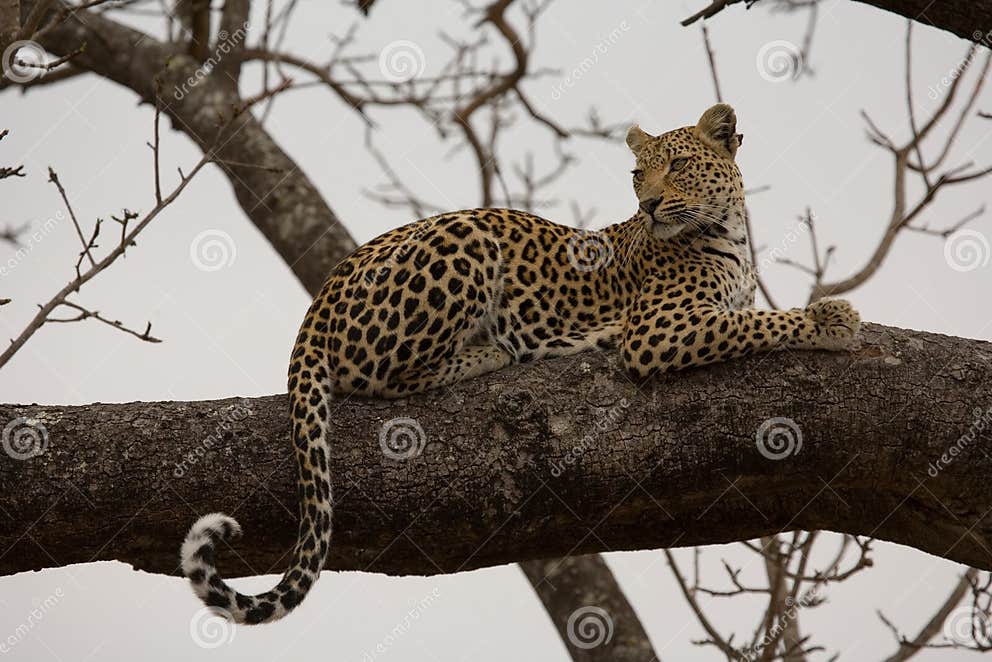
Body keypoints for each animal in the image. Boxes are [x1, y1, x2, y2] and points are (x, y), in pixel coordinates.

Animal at [180, 103, 860, 624]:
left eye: (679, 166)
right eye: (639, 174)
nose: (650, 205)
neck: (732, 234)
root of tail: (317, 305)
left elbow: (749, 316)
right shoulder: (657, 329)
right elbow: (756, 323)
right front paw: (832, 319)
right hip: (466, 241)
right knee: (381, 375)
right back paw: (496, 349)